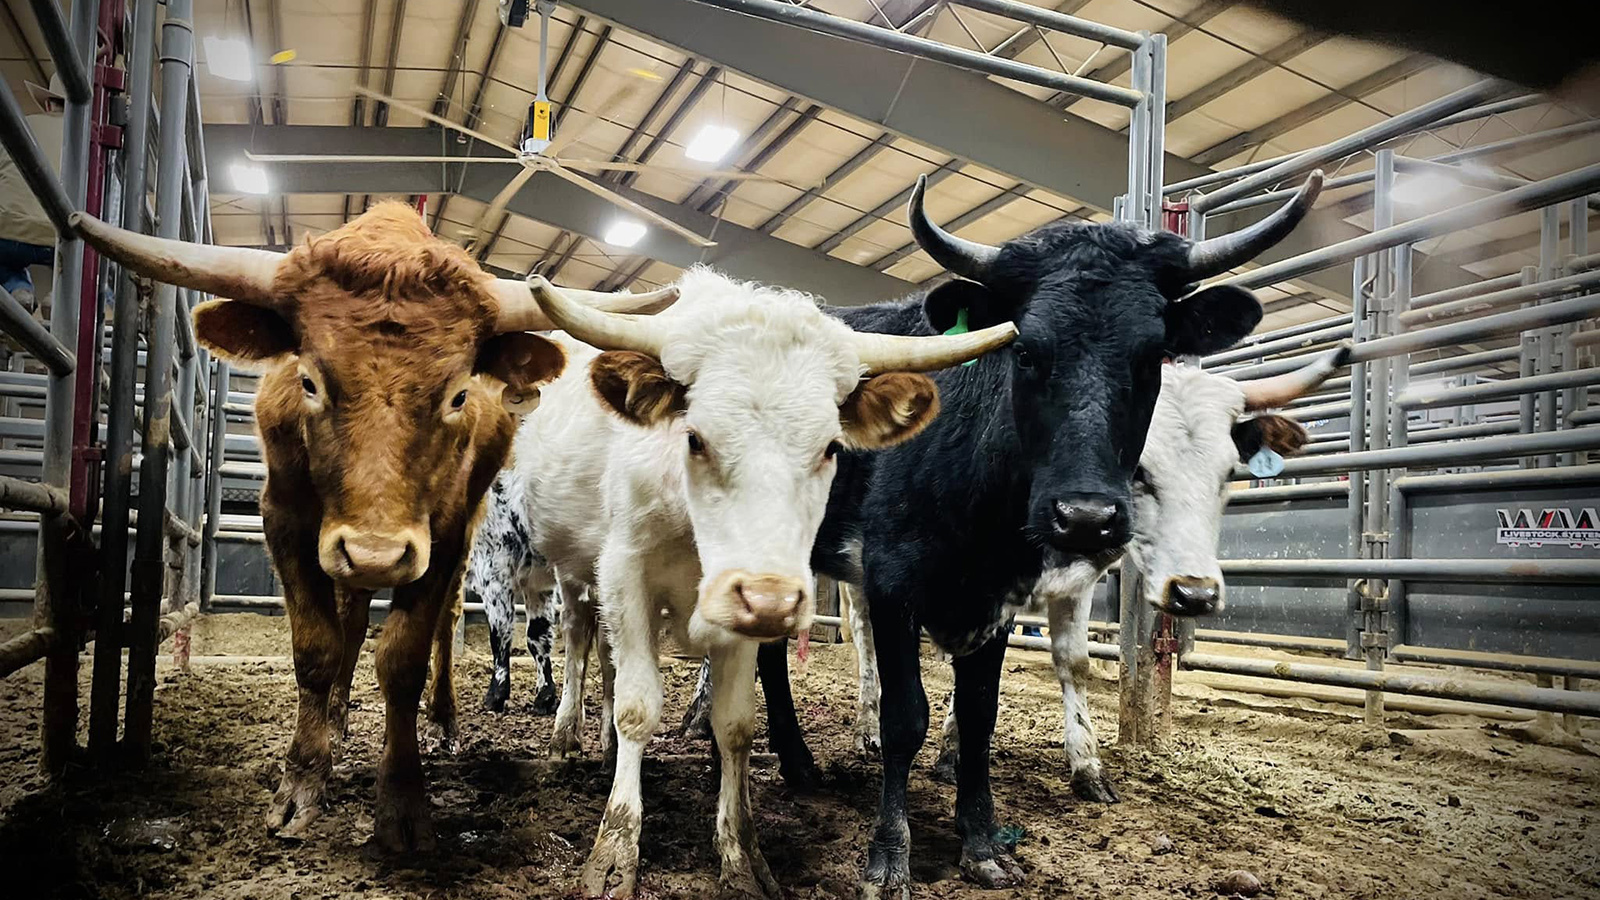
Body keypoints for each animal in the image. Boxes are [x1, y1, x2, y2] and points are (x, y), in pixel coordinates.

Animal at [70, 203, 678, 853]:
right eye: (308, 381)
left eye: (458, 394)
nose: (376, 555)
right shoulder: (285, 517)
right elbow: (318, 647)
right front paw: (302, 783)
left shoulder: (445, 533)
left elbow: (403, 658)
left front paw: (403, 801)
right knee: (352, 619)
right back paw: (337, 715)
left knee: (442, 624)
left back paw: (444, 719)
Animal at [509, 267, 1016, 899]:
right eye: (695, 438)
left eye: (831, 447)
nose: (773, 601)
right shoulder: (626, 572)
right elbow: (637, 708)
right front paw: (615, 849)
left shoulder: (738, 610)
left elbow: (734, 725)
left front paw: (741, 854)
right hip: (576, 572)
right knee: (579, 642)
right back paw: (566, 738)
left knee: (603, 655)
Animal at [747, 170, 1327, 895]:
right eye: (1023, 348)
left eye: (1154, 355)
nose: (1086, 517)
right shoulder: (891, 580)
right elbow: (907, 716)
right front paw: (890, 854)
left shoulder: (1000, 596)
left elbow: (980, 715)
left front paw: (981, 841)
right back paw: (793, 760)